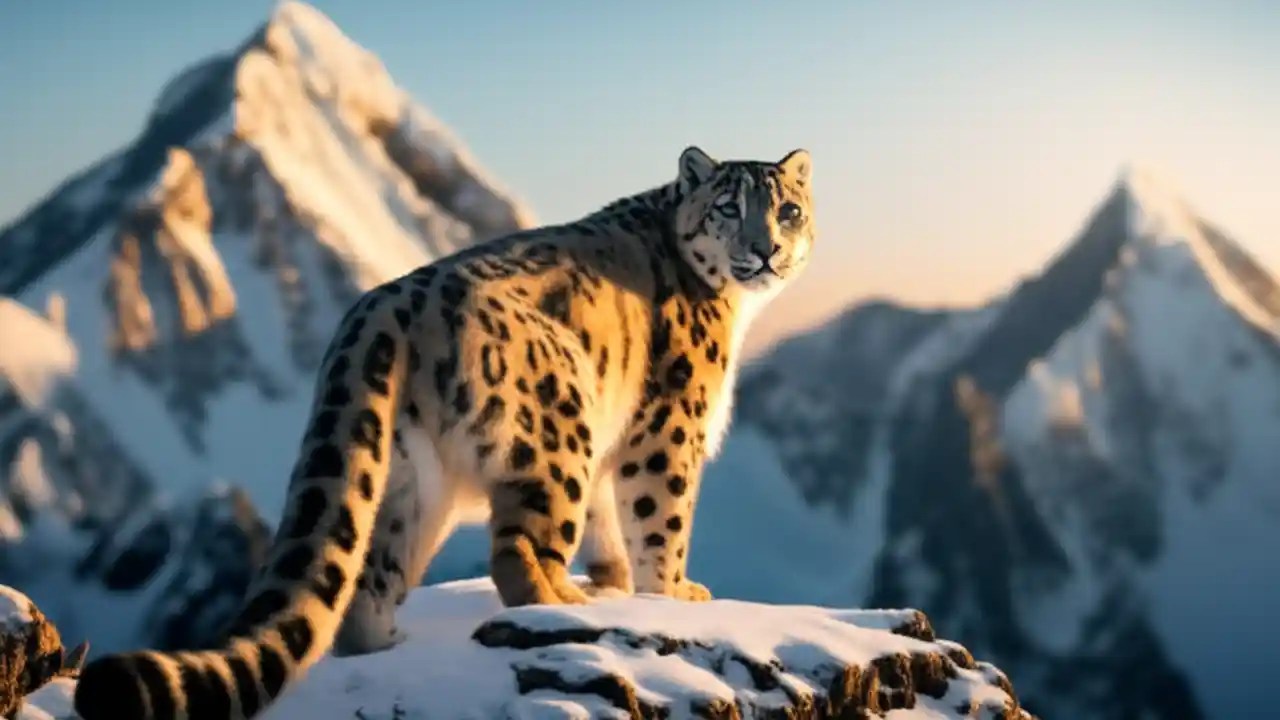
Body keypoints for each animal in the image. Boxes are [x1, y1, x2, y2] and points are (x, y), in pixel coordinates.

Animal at [73, 145, 816, 720]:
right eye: (728, 207)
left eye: (788, 209)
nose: (766, 250)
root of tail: (382, 307)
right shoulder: (670, 427)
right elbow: (659, 519)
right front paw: (672, 593)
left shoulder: (620, 444)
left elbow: (612, 522)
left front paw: (617, 581)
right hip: (559, 432)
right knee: (520, 551)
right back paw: (564, 607)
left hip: (408, 480)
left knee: (365, 583)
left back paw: (393, 647)